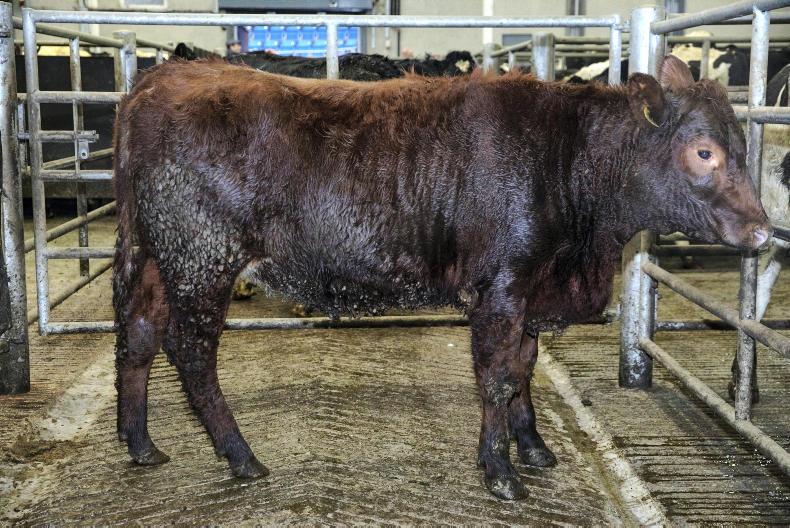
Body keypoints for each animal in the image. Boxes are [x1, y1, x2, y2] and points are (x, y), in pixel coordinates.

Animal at [112, 56, 770, 501]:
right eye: (705, 152)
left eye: (743, 148)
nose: (764, 233)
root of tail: (161, 80)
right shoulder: (501, 285)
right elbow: (498, 377)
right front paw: (501, 472)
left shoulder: (530, 292)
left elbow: (524, 369)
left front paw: (534, 449)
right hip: (203, 259)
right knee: (190, 351)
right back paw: (240, 456)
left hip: (154, 255)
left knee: (137, 335)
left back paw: (141, 446)